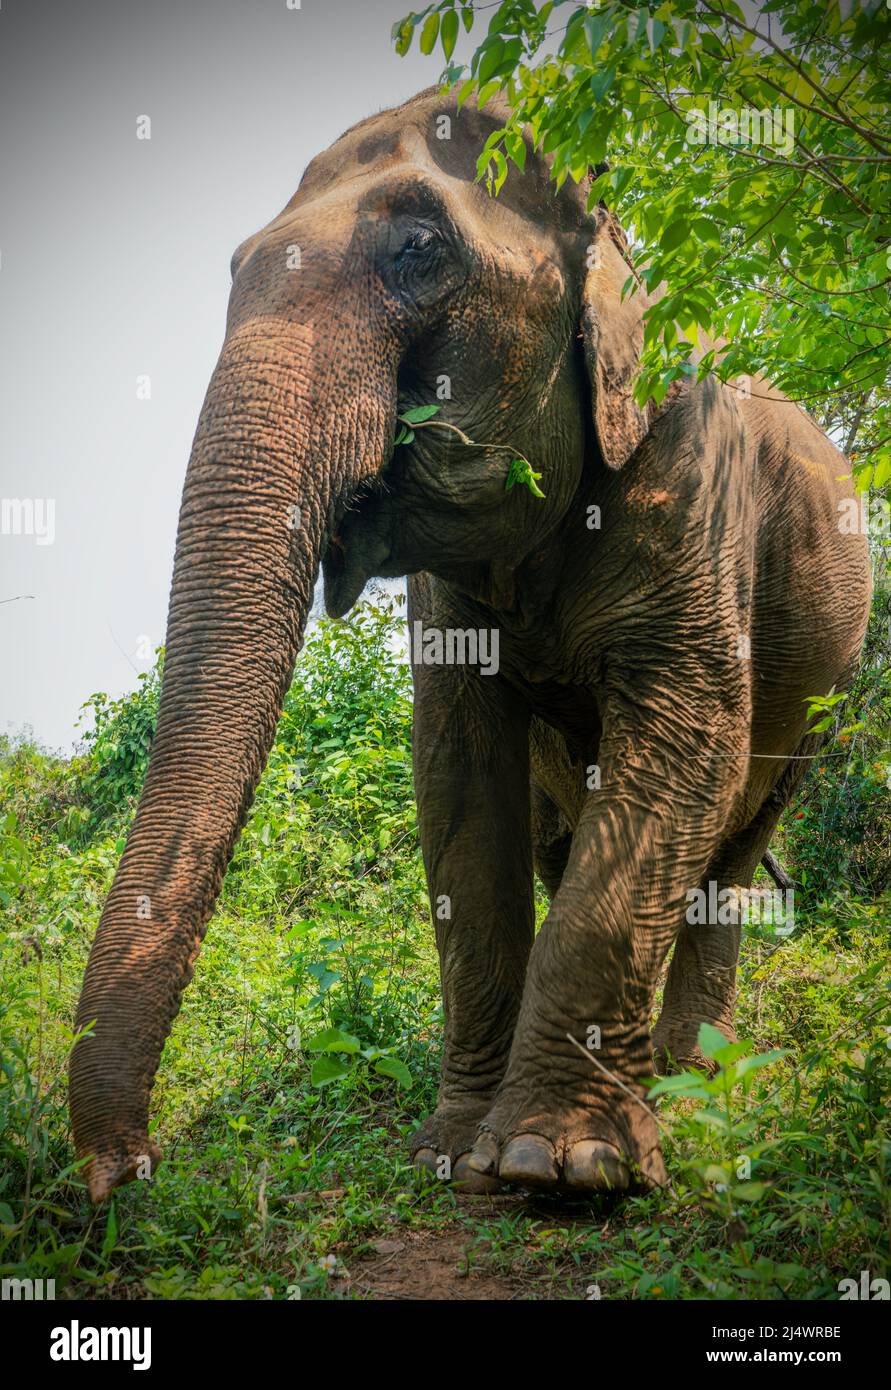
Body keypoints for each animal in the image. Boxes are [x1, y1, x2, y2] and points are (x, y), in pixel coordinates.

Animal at [70, 87, 871, 1202]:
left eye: (420, 251)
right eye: (231, 268)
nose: (125, 1172)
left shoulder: (690, 477)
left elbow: (687, 732)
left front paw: (557, 1163)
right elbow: (456, 772)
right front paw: (453, 1152)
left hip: (823, 696)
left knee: (736, 842)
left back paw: (692, 1084)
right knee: (565, 835)